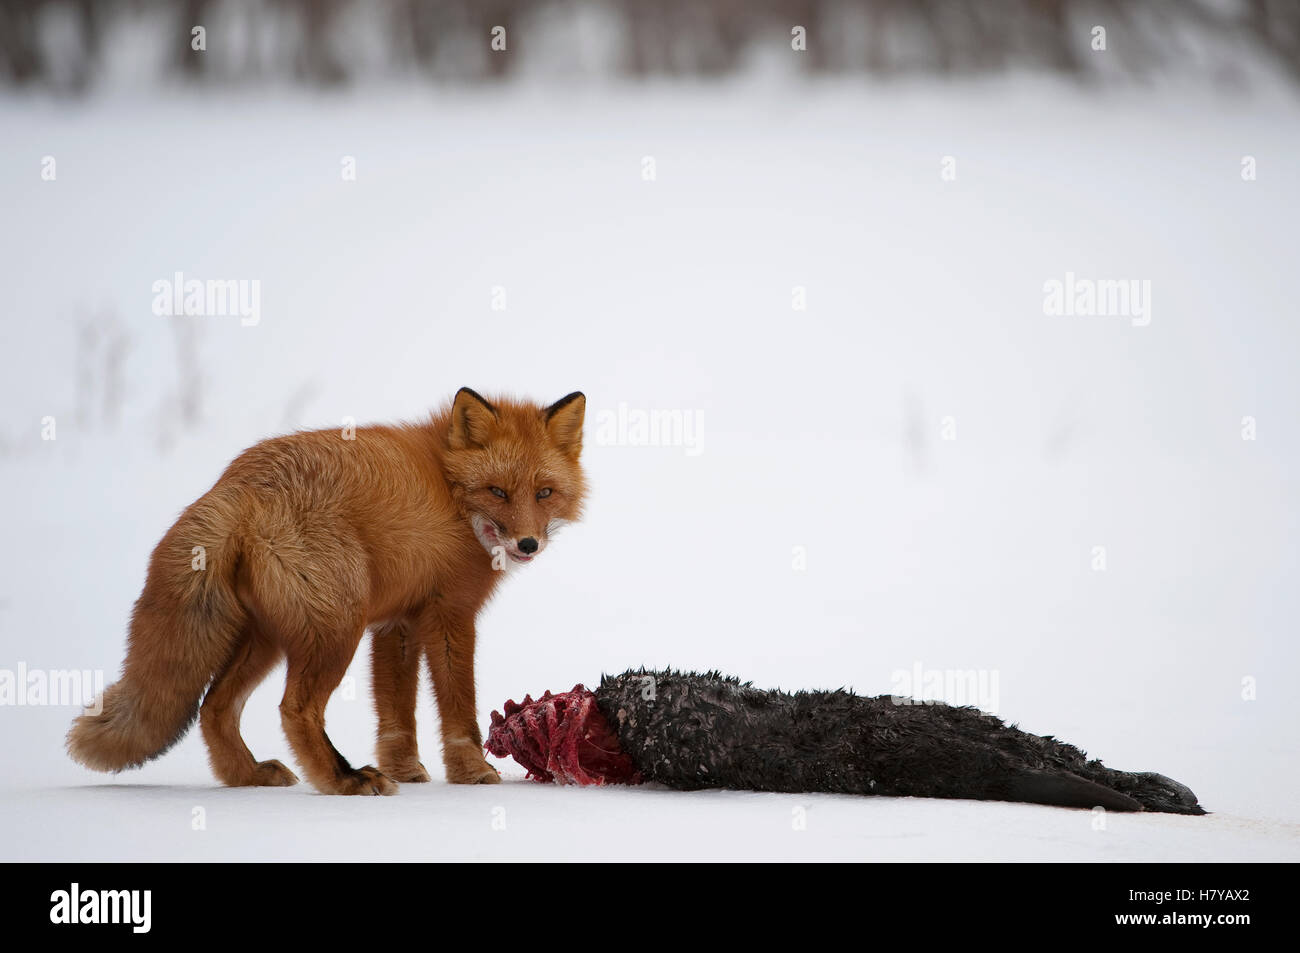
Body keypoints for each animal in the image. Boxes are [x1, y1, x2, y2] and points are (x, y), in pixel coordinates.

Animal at [66, 387, 587, 795]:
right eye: (497, 491)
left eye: (544, 493)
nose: (527, 543)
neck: (451, 496)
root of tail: (238, 484)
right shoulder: (450, 614)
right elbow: (460, 708)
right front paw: (472, 772)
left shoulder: (397, 622)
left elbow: (396, 713)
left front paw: (408, 771)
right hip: (335, 630)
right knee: (295, 710)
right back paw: (344, 780)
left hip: (268, 639)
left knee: (214, 709)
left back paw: (248, 776)